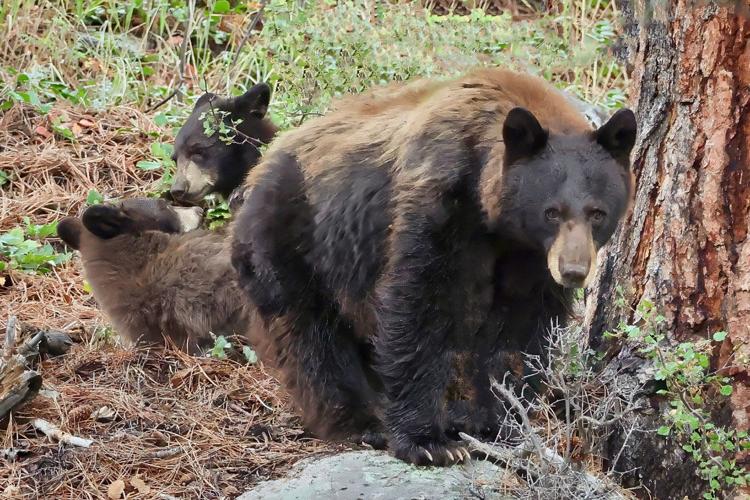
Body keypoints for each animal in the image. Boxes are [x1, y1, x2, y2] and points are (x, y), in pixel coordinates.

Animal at [230, 68, 637, 466]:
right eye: (552, 212)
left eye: (597, 213)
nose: (573, 271)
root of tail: (257, 172)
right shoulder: (440, 203)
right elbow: (421, 302)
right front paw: (428, 440)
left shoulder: (530, 255)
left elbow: (520, 325)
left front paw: (499, 422)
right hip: (293, 241)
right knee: (311, 336)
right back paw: (362, 421)